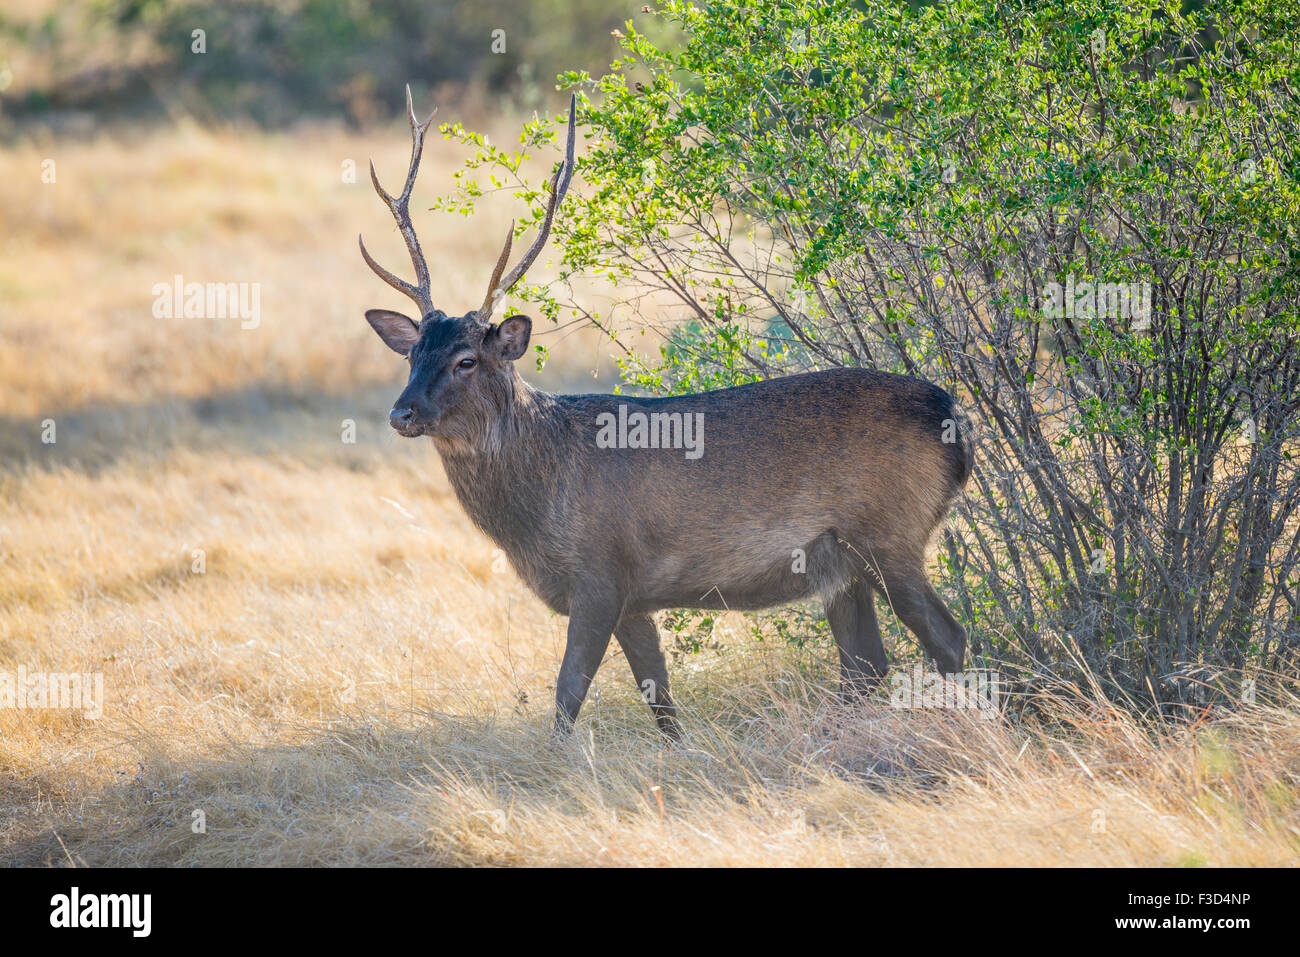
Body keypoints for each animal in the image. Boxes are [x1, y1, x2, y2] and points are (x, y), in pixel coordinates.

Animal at [359, 88, 975, 740]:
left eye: (467, 360)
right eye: (413, 355)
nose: (402, 413)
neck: (541, 506)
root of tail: (957, 421)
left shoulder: (601, 571)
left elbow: (568, 693)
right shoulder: (633, 599)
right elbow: (659, 696)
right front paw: (680, 748)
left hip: (889, 531)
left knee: (946, 639)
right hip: (839, 562)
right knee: (866, 666)